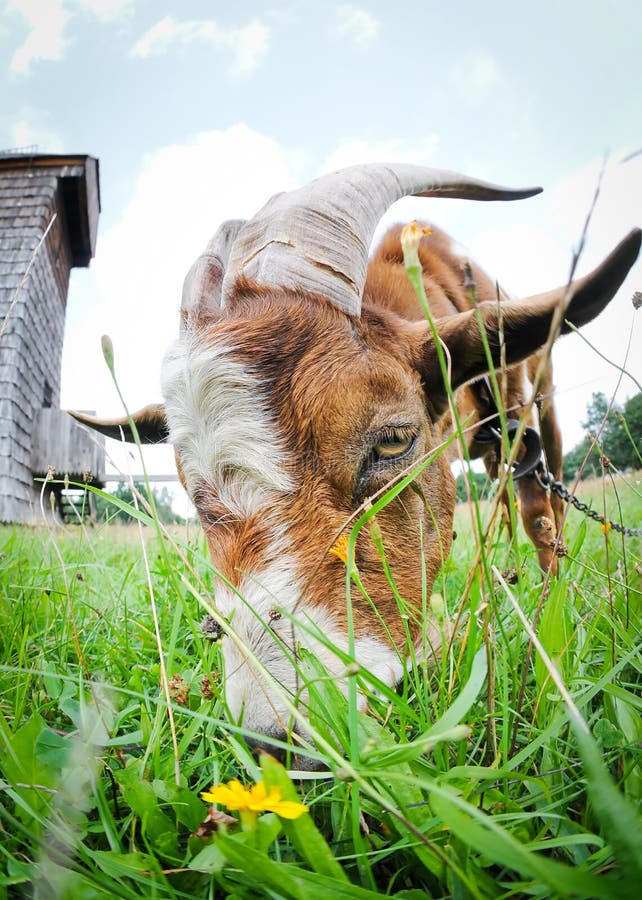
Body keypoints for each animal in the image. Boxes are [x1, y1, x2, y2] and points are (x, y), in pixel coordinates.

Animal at [72, 163, 641, 766]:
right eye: (188, 487)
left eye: (393, 440)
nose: (272, 739)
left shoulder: (517, 417)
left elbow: (539, 513)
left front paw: (553, 606)